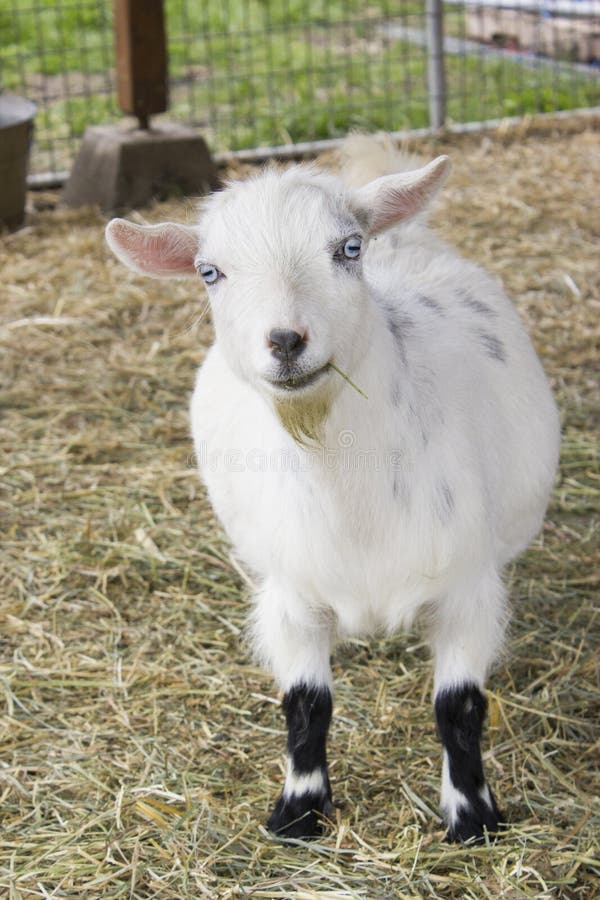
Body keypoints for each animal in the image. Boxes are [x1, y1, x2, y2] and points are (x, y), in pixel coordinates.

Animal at [105, 137, 560, 843]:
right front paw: (299, 809)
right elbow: (305, 703)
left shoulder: (466, 586)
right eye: (209, 272)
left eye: (347, 248)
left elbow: (458, 708)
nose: (286, 340)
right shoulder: (291, 594)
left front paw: (472, 816)